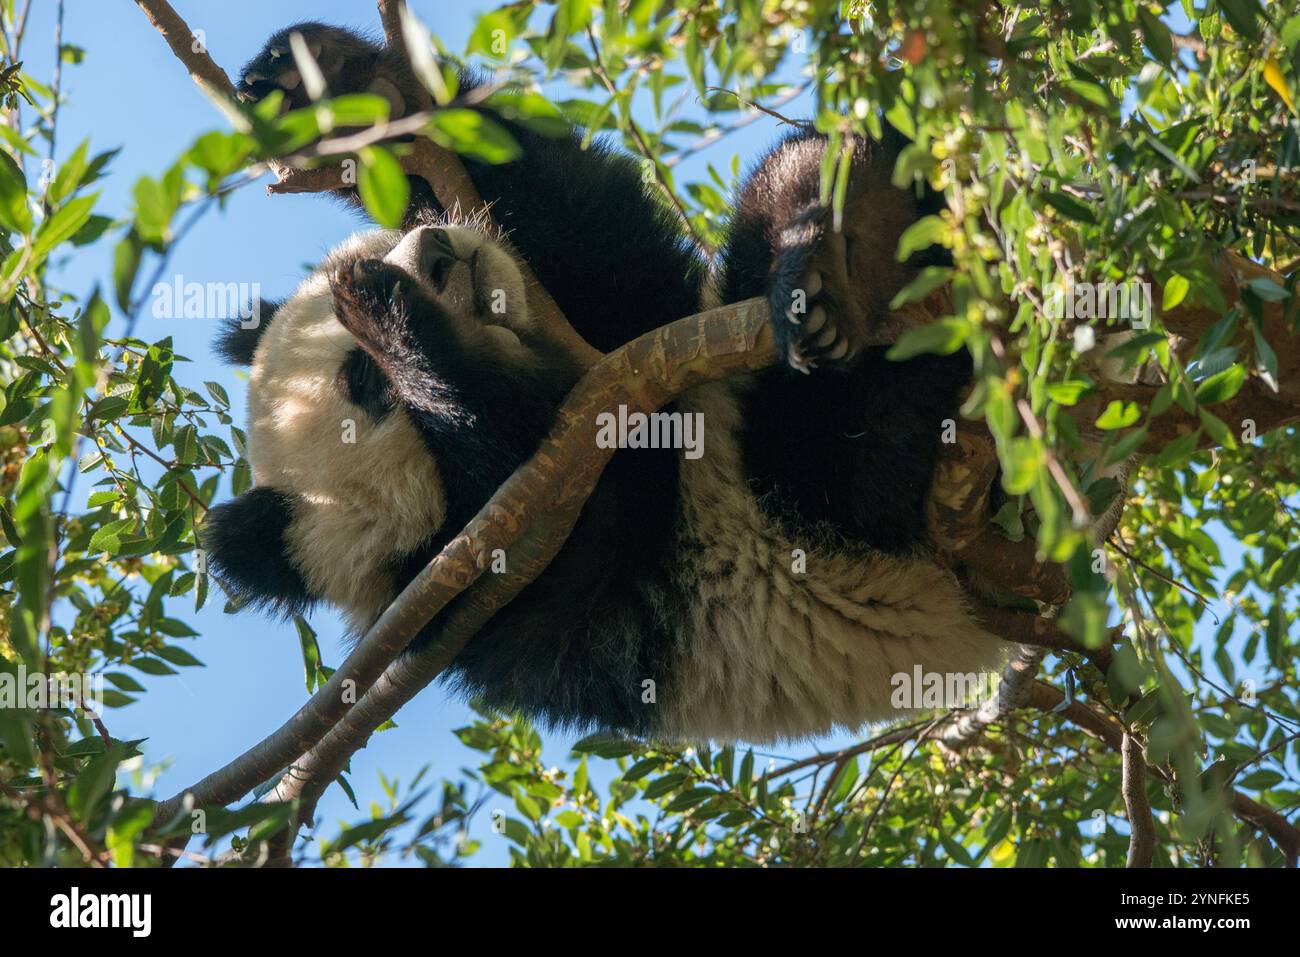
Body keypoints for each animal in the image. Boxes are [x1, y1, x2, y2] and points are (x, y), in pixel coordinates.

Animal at [204, 23, 1004, 743]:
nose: (436, 255)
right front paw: (389, 315)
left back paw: (838, 239)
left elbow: (575, 215)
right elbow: (558, 454)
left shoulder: (619, 325)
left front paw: (332, 89)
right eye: (365, 382)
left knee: (785, 185)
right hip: (827, 502)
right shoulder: (523, 589)